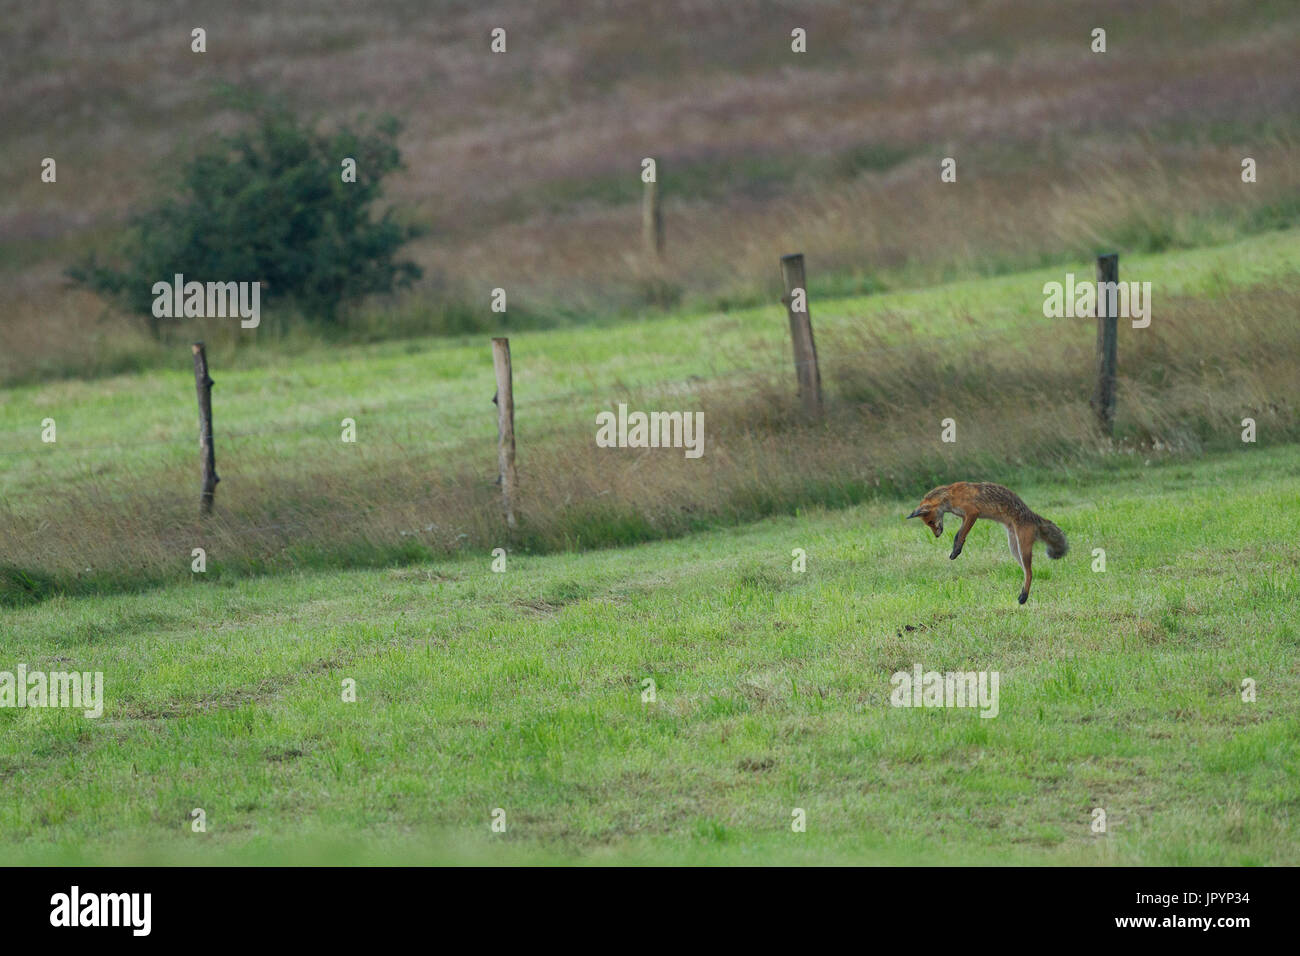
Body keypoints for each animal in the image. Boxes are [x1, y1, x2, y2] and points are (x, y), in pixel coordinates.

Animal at [907, 482, 1067, 604]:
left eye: (930, 522)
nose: (937, 536)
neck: (950, 496)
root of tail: (1033, 516)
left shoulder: (972, 513)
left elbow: (960, 535)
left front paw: (957, 550)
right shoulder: (964, 516)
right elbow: (958, 535)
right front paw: (955, 550)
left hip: (1022, 548)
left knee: (1030, 572)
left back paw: (1024, 596)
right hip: (1014, 548)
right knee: (1026, 571)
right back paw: (1023, 592)